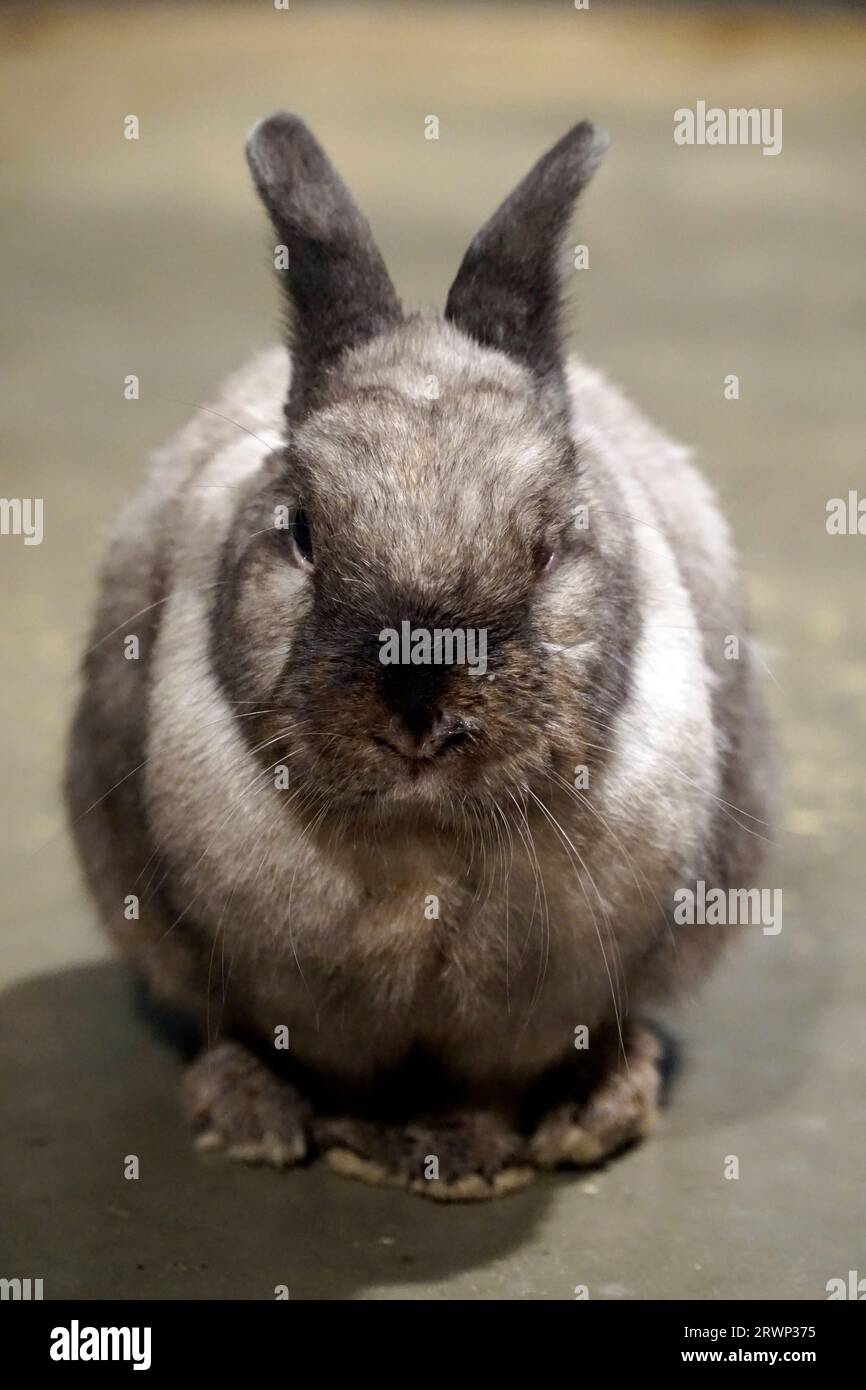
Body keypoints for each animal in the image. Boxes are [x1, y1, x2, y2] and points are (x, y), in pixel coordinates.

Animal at [66, 113, 773, 1200]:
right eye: (301, 532)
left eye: (550, 544)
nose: (417, 716)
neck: (423, 843)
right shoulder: (301, 1004)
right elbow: (308, 1056)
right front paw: (349, 1141)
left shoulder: (528, 1014)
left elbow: (489, 1086)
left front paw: (463, 1163)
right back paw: (246, 1111)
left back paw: (599, 1107)